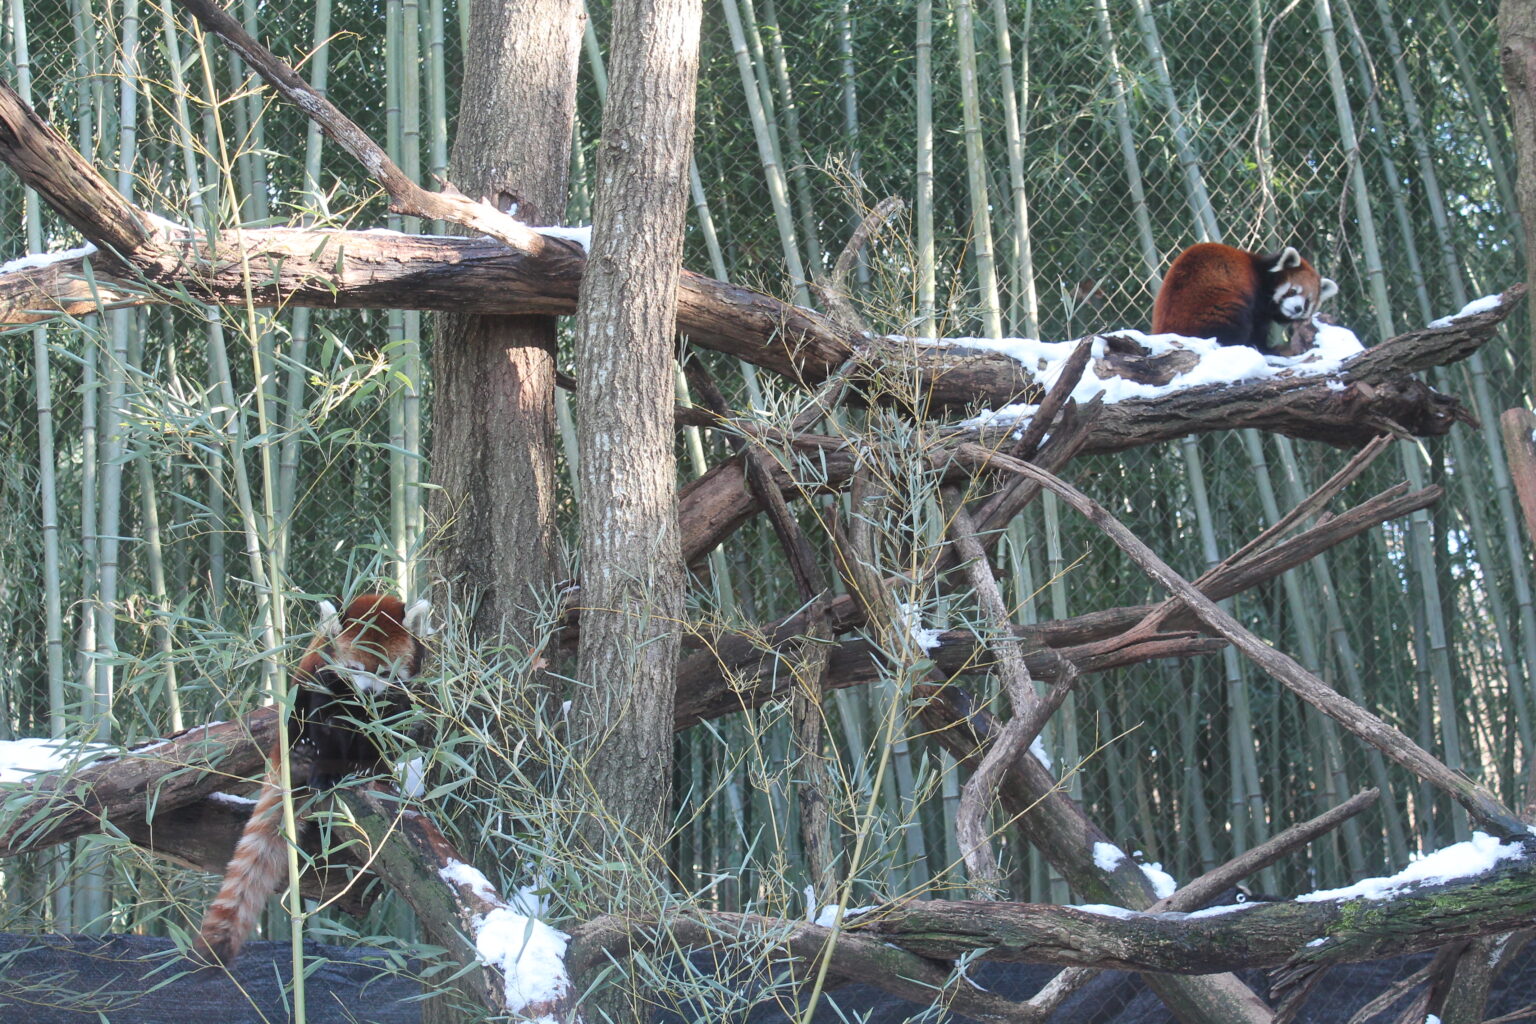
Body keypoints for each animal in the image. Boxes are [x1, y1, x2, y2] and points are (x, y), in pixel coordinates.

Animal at [1151, 242, 1338, 354]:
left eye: (1307, 302)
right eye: (1292, 291)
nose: (1298, 308)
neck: (1261, 273)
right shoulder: (1256, 297)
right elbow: (1258, 326)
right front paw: (1264, 348)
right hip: (1216, 307)